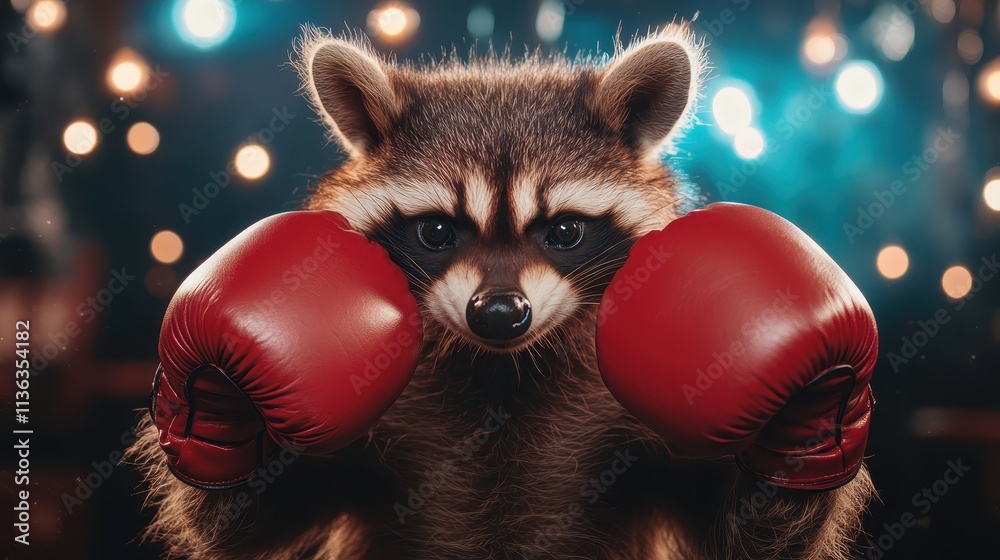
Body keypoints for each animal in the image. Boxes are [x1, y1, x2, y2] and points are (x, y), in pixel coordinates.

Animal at [128, 24, 874, 560]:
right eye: (436, 231)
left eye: (565, 231)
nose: (498, 313)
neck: (501, 371)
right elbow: (245, 523)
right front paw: (222, 401)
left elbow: (745, 535)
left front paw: (804, 414)